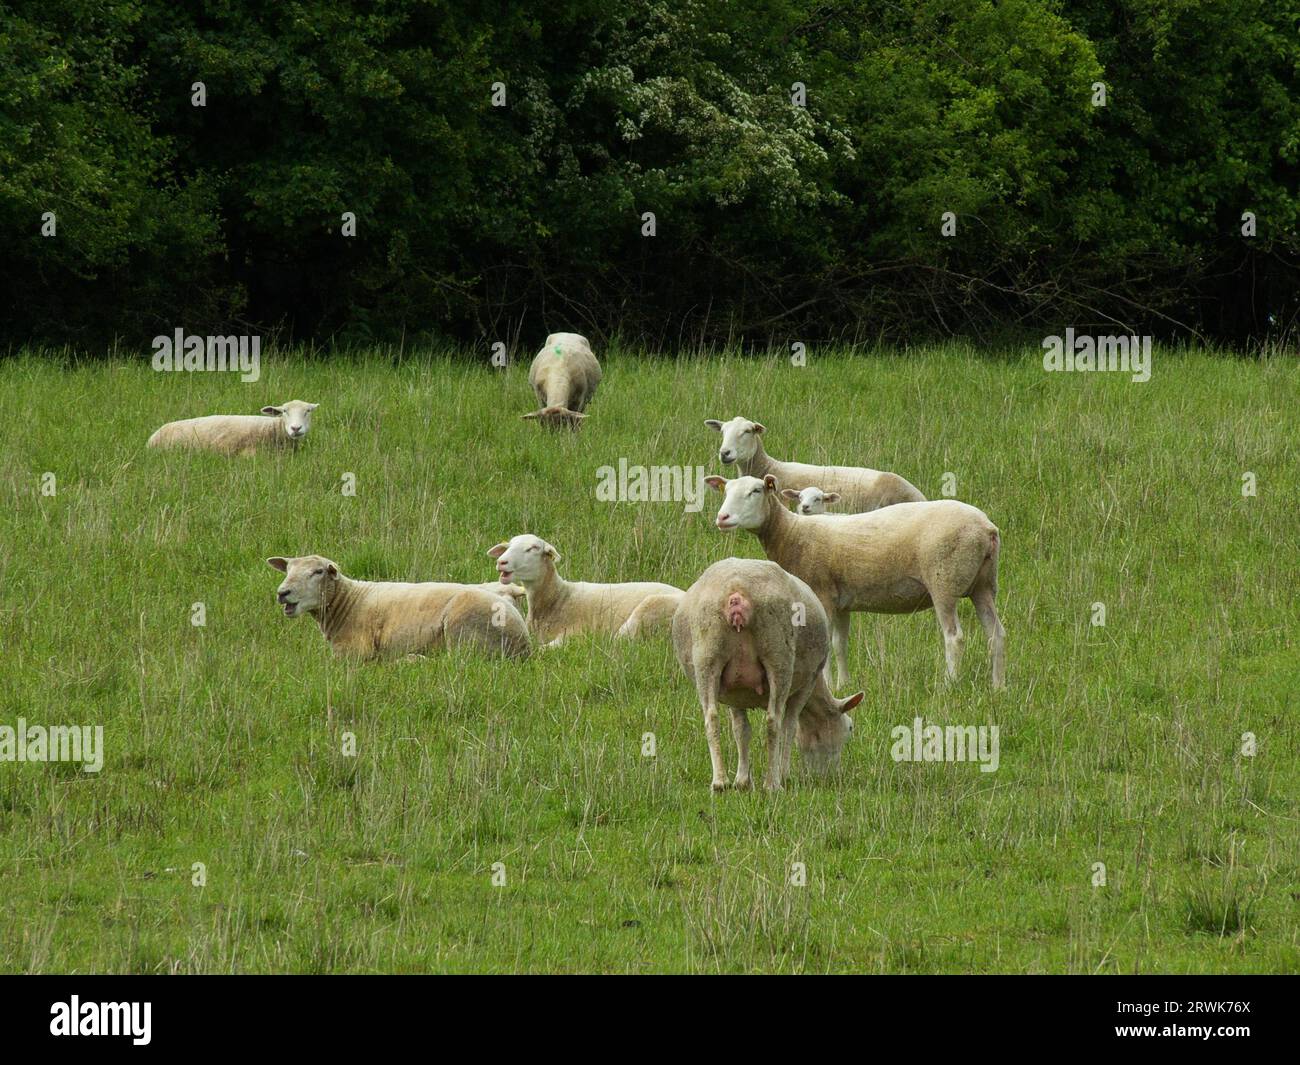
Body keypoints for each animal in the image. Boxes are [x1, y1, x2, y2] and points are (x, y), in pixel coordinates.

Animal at [266, 555, 530, 660]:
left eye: (318, 571)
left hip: (462, 629)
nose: (282, 593)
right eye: (287, 569)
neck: (348, 601)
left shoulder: (353, 653)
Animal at [486, 534, 682, 645]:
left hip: (649, 609)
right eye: (508, 545)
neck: (557, 597)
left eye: (533, 548)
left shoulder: (575, 632)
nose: (501, 562)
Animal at [672, 557, 863, 790]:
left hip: (706, 656)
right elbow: (790, 727)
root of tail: (737, 591)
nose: (831, 777)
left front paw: (742, 781)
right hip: (778, 655)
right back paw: (772, 784)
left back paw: (720, 782)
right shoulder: (806, 685)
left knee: (711, 718)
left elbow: (741, 730)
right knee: (773, 721)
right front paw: (784, 774)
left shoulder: (735, 695)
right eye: (850, 728)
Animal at [707, 474, 1006, 690]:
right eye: (725, 490)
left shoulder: (823, 594)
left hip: (944, 582)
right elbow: (840, 643)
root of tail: (987, 528)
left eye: (756, 490)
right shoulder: (841, 603)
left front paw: (827, 685)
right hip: (984, 584)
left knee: (954, 637)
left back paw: (949, 685)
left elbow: (827, 643)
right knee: (996, 634)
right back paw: (998, 687)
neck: (792, 534)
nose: (722, 518)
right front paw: (844, 684)